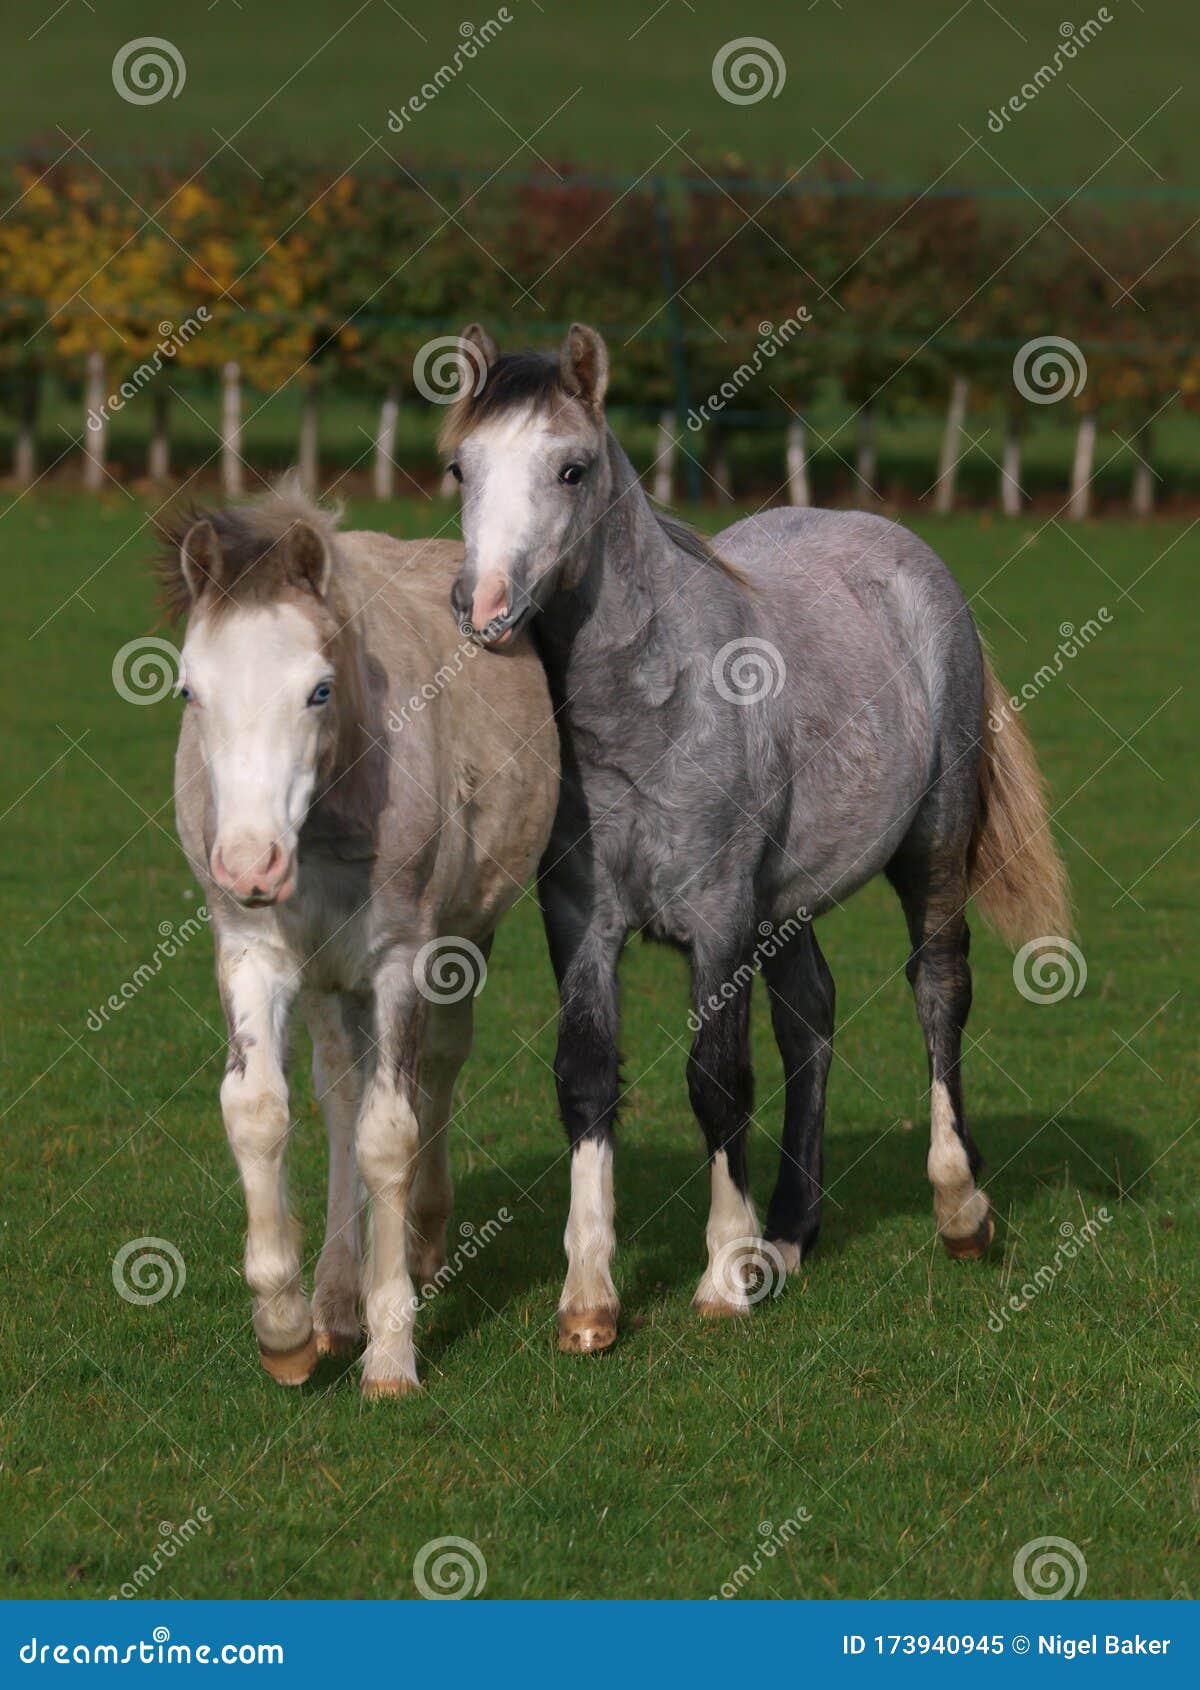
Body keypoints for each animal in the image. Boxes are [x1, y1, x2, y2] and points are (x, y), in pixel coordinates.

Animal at [160, 483, 558, 1396]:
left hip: (459, 938)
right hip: (325, 975)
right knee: (340, 1086)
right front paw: (285, 1330)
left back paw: (420, 1244)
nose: (249, 862)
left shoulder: (403, 958)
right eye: (190, 691)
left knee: (436, 1066)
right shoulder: (254, 951)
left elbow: (391, 1132)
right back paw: (335, 1302)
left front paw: (392, 1354)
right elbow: (259, 1110)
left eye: (318, 690)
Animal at [442, 322, 1071, 1354]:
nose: (485, 603)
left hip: (930, 847)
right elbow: (586, 1079)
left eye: (572, 469)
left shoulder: (720, 917)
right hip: (790, 903)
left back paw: (958, 1208)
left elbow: (717, 1081)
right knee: (810, 1015)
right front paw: (590, 1300)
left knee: (939, 988)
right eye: (462, 466)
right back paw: (790, 1232)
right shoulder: (581, 921)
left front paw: (723, 1275)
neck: (652, 706)